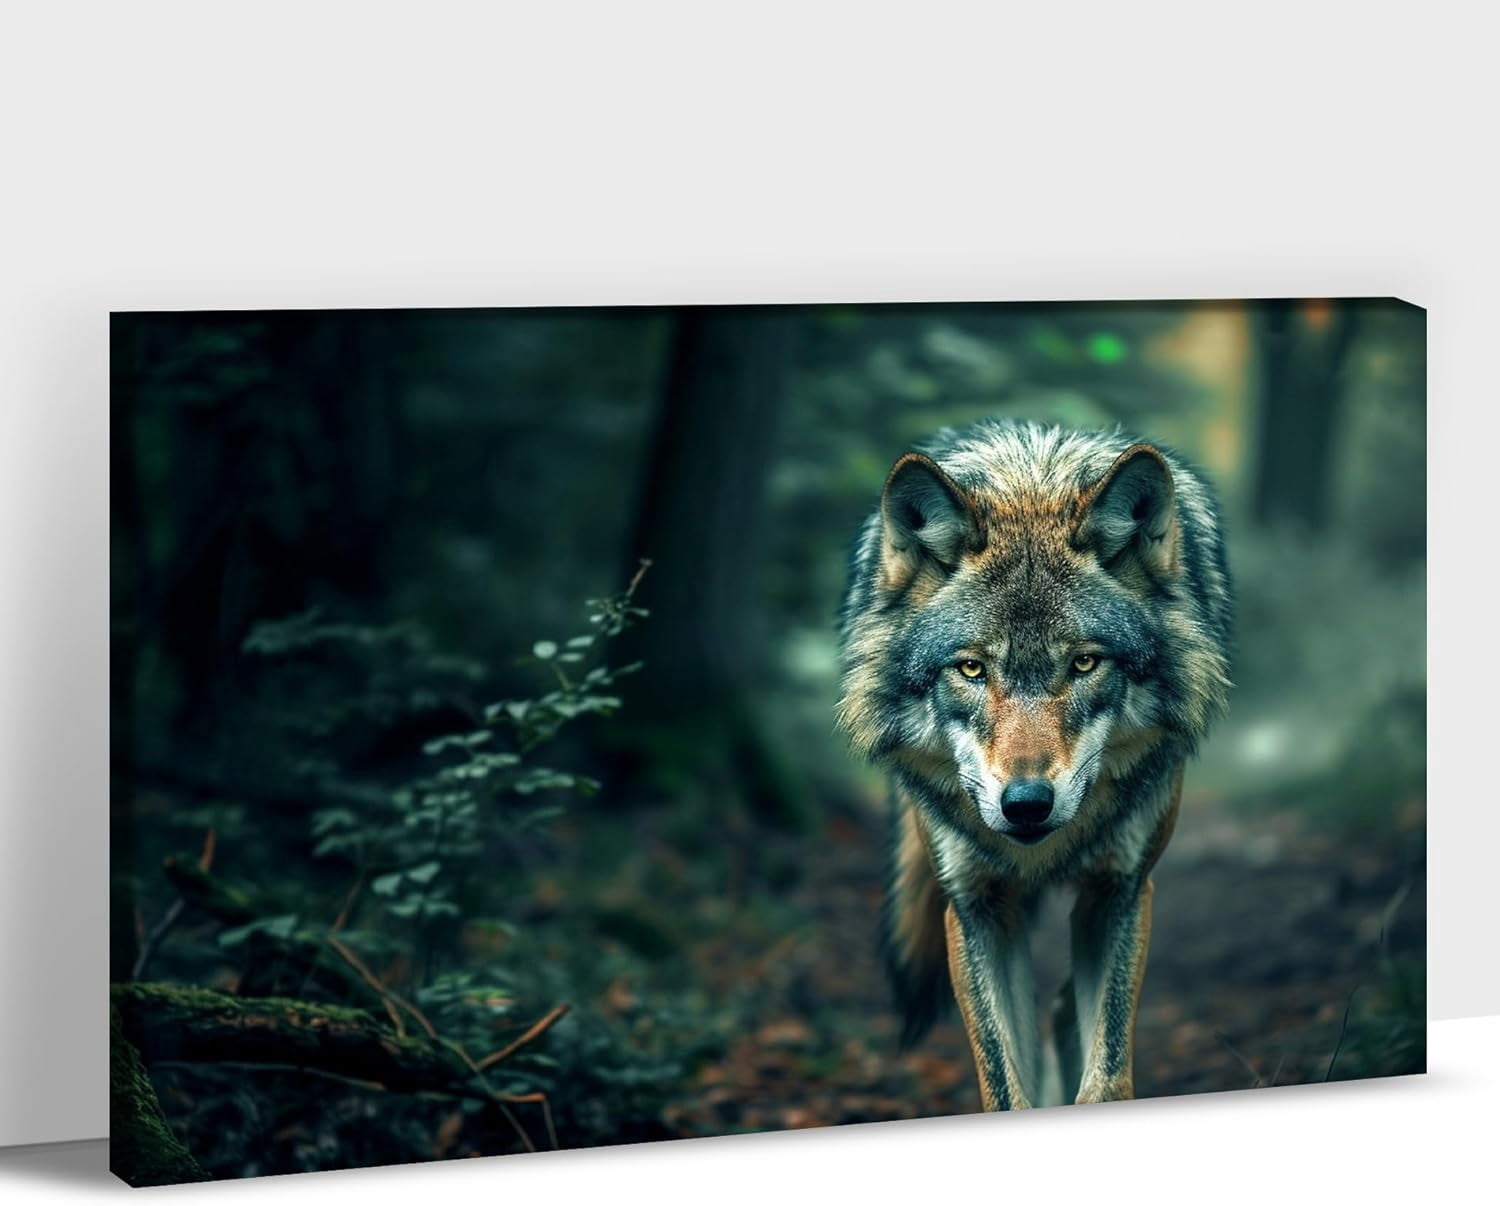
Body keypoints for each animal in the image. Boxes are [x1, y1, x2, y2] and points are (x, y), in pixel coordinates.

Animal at [837, 419, 1233, 1109]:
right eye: (972, 668)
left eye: (1084, 663)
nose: (1026, 804)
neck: (1031, 484)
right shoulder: (975, 906)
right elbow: (1002, 1085)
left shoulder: (1120, 890)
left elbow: (1106, 1079)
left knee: (1064, 1009)